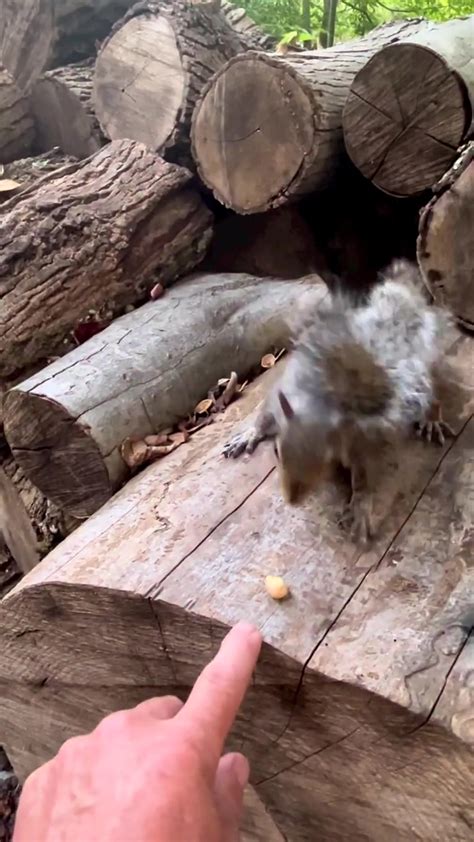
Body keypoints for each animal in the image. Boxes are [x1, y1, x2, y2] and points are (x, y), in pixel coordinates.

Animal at [223, 259, 457, 544]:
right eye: (276, 451)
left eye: (326, 461)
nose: (291, 500)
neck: (320, 402)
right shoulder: (280, 397)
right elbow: (264, 416)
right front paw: (248, 434)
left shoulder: (361, 440)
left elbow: (364, 476)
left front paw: (360, 508)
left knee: (432, 392)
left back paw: (432, 418)